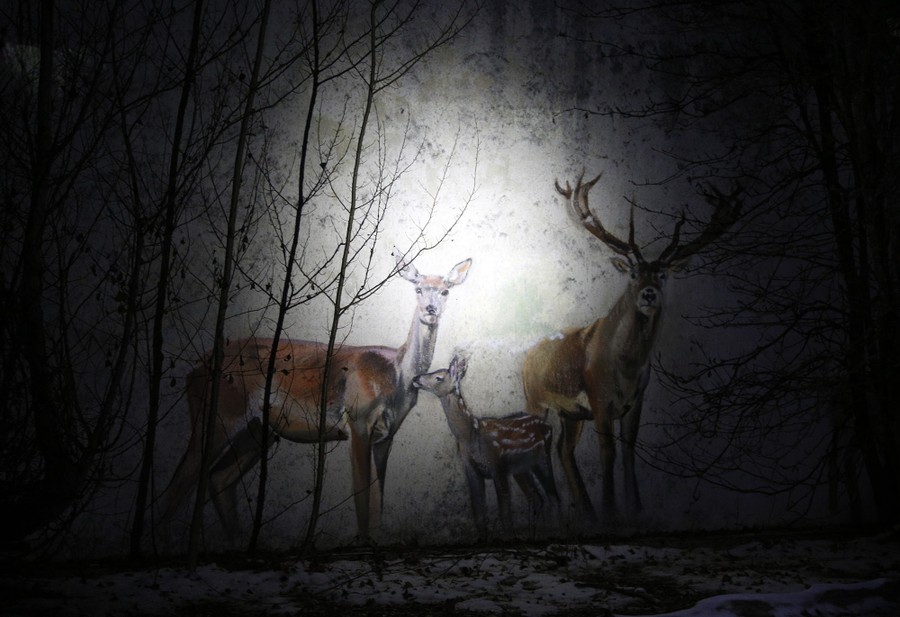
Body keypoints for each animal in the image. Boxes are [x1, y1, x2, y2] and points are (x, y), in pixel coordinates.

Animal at [159, 249, 472, 542]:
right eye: (418, 288)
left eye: (445, 290)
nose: (431, 309)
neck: (396, 376)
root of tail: (194, 369)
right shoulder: (357, 421)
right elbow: (363, 496)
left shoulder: (387, 435)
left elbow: (378, 498)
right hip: (219, 413)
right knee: (179, 482)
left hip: (258, 429)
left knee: (218, 477)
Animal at [413, 354, 559, 537]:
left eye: (438, 377)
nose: (415, 378)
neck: (472, 437)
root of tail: (547, 424)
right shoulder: (471, 468)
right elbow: (479, 514)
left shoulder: (497, 466)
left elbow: (504, 514)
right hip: (522, 469)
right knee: (536, 497)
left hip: (543, 456)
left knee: (553, 495)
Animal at [523, 171, 740, 522]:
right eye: (635, 273)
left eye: (663, 275)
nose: (649, 293)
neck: (624, 367)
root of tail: (525, 357)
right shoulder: (599, 399)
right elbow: (607, 452)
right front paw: (611, 510)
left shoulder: (636, 400)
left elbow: (628, 450)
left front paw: (634, 509)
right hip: (534, 401)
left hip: (571, 413)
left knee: (563, 450)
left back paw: (586, 513)